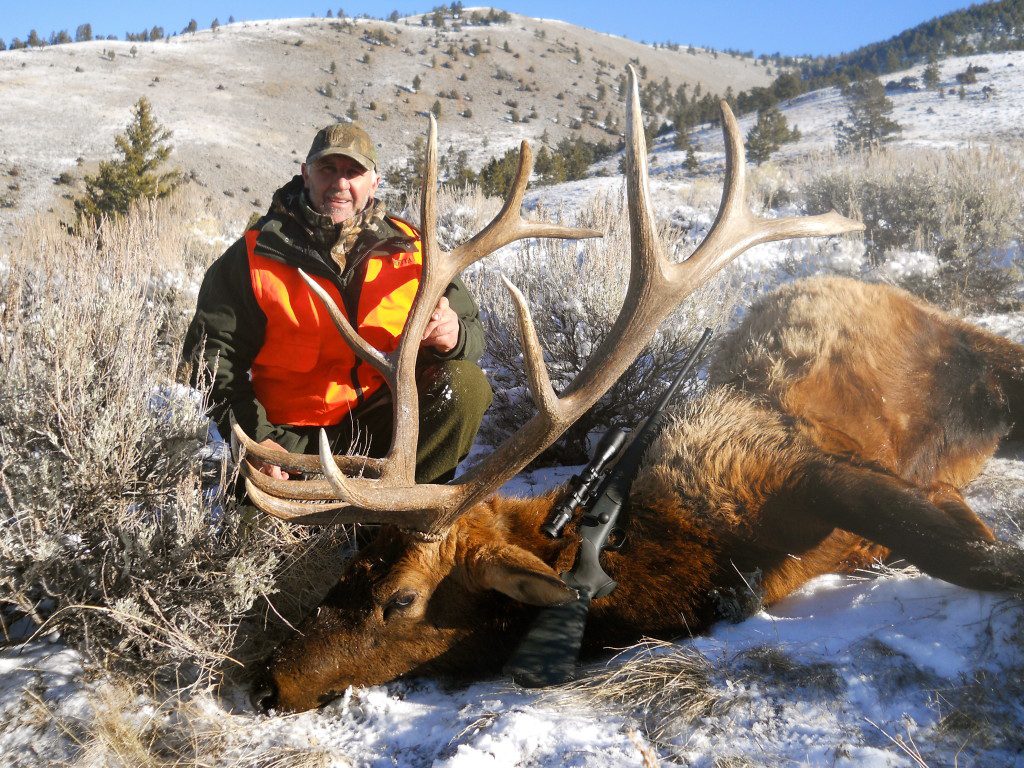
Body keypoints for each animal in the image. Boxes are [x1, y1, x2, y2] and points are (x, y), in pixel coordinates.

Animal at [233, 68, 1024, 713]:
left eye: (399, 598)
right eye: (348, 568)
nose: (266, 682)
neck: (689, 551)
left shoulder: (800, 465)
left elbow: (963, 553)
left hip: (987, 361)